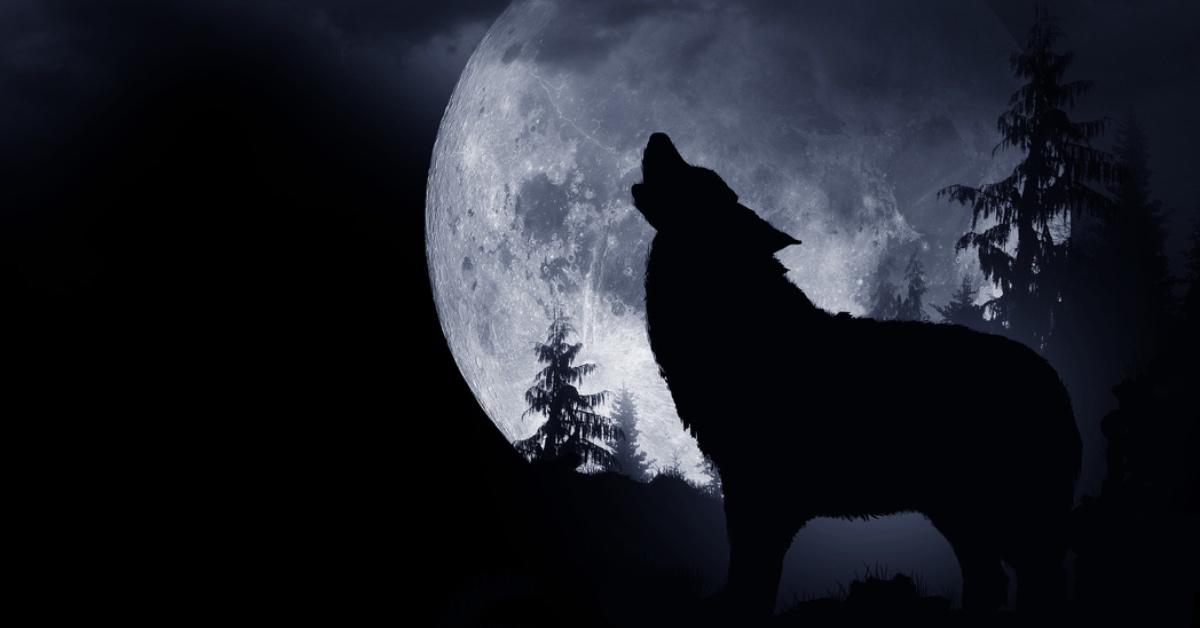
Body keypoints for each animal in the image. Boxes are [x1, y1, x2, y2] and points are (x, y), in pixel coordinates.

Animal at [631, 133, 1082, 617]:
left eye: (698, 177)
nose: (658, 136)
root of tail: (1056, 381)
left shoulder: (758, 490)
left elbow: (751, 578)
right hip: (958, 512)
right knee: (991, 580)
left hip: (1005, 514)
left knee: (1039, 581)